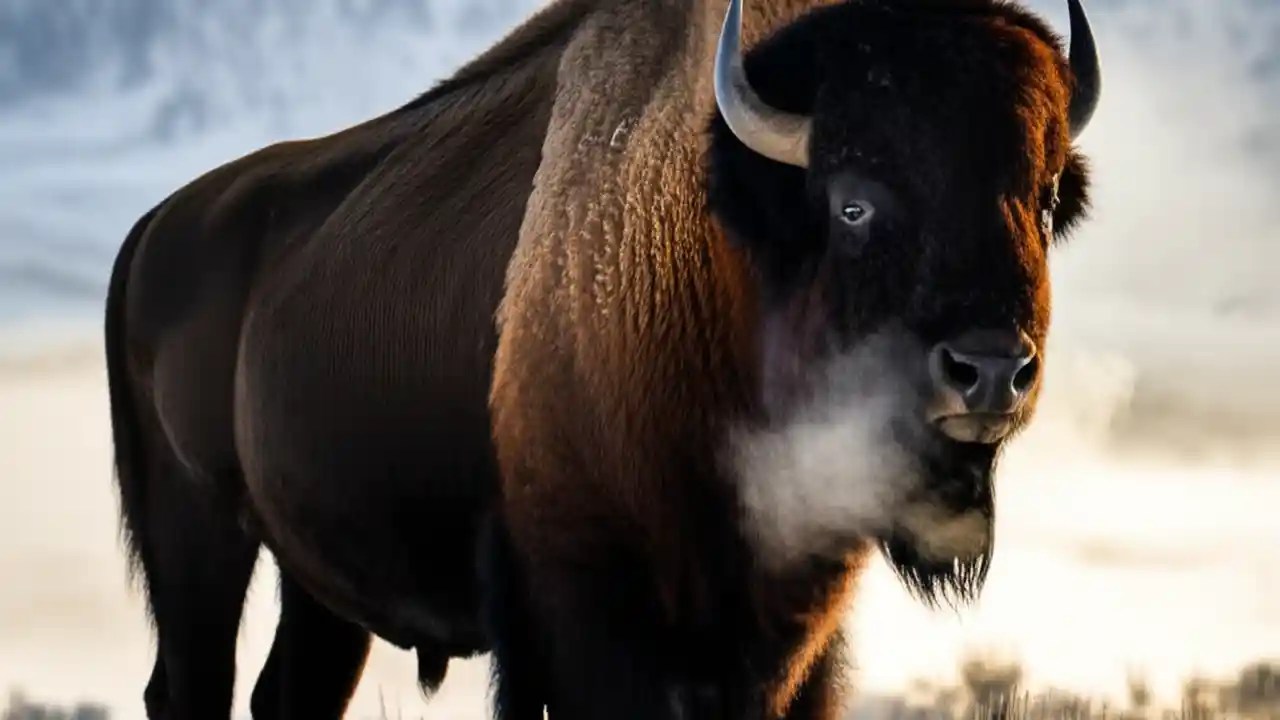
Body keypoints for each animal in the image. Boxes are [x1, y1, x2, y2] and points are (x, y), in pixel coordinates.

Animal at [104, 0, 1101, 717]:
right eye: (852, 203)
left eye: (1047, 197)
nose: (990, 372)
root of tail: (154, 227)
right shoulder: (586, 613)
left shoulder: (790, 633)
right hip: (193, 528)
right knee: (187, 684)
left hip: (318, 578)